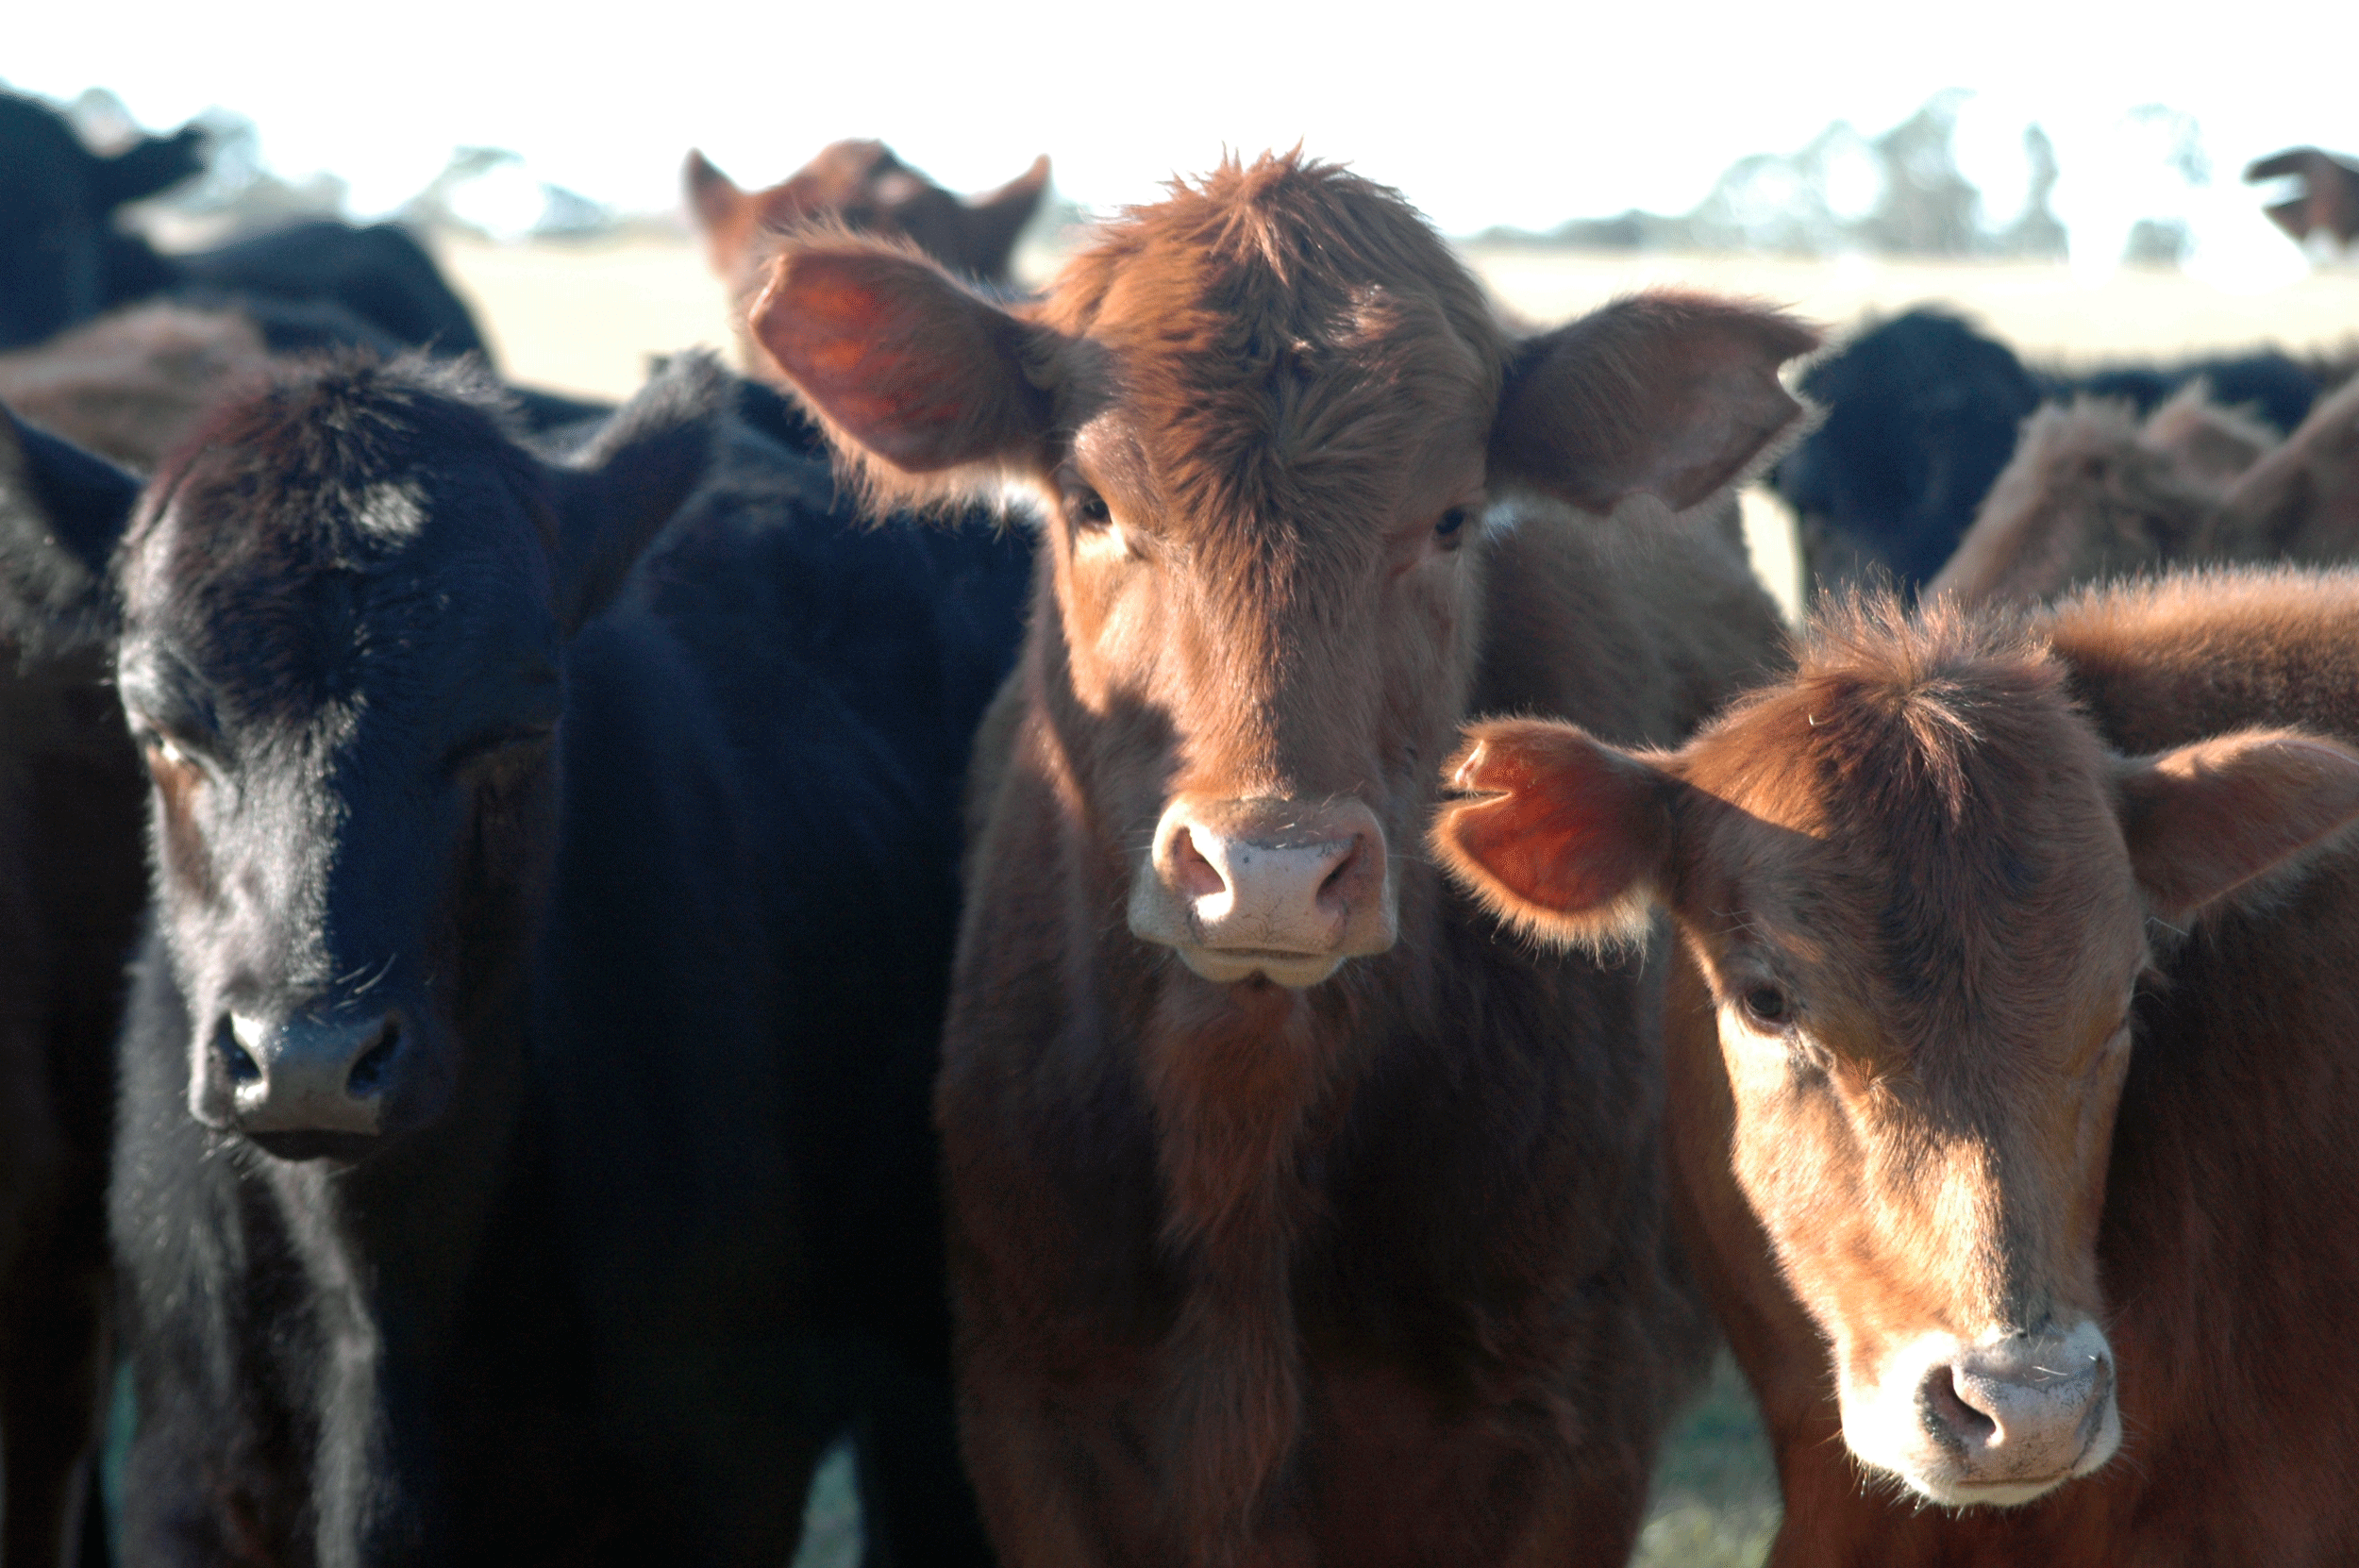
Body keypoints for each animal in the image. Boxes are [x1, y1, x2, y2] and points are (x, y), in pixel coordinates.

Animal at [15, 350, 1027, 1564]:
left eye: (520, 724)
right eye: (160, 727)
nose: (307, 1059)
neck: (380, 1308)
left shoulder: (714, 1476)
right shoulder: (184, 1479)